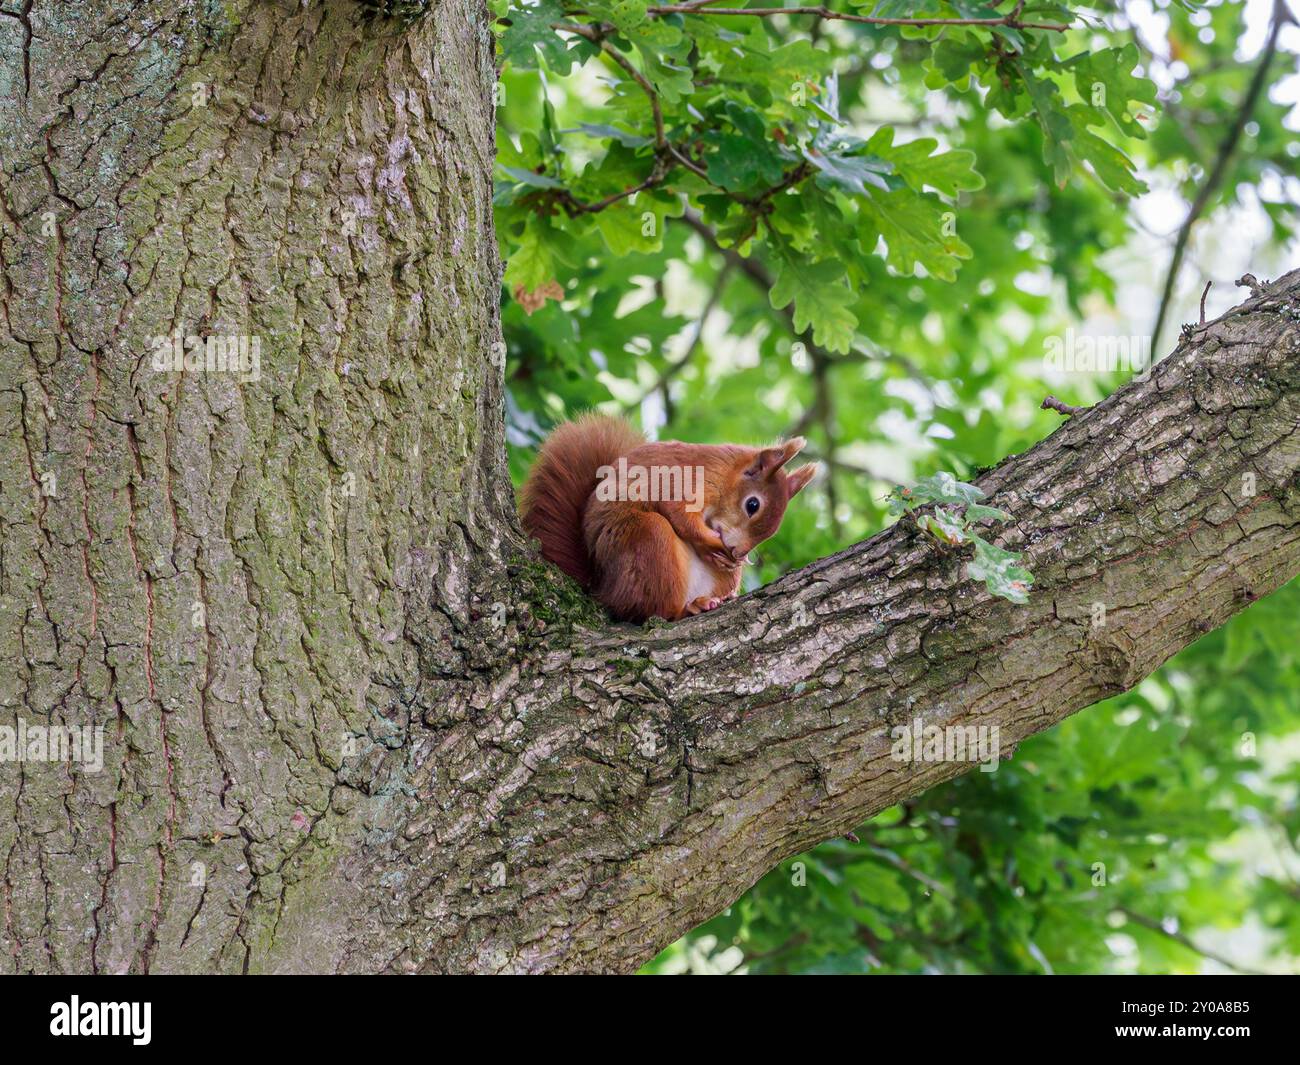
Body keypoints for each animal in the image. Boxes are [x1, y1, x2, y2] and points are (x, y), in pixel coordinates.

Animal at [519, 413, 817, 622]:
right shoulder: (685, 482)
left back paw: (715, 598)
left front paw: (731, 558)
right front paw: (712, 543)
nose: (738, 551)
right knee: (652, 611)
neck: (725, 474)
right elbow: (680, 516)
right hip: (648, 539)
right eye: (752, 505)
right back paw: (688, 608)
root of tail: (601, 586)